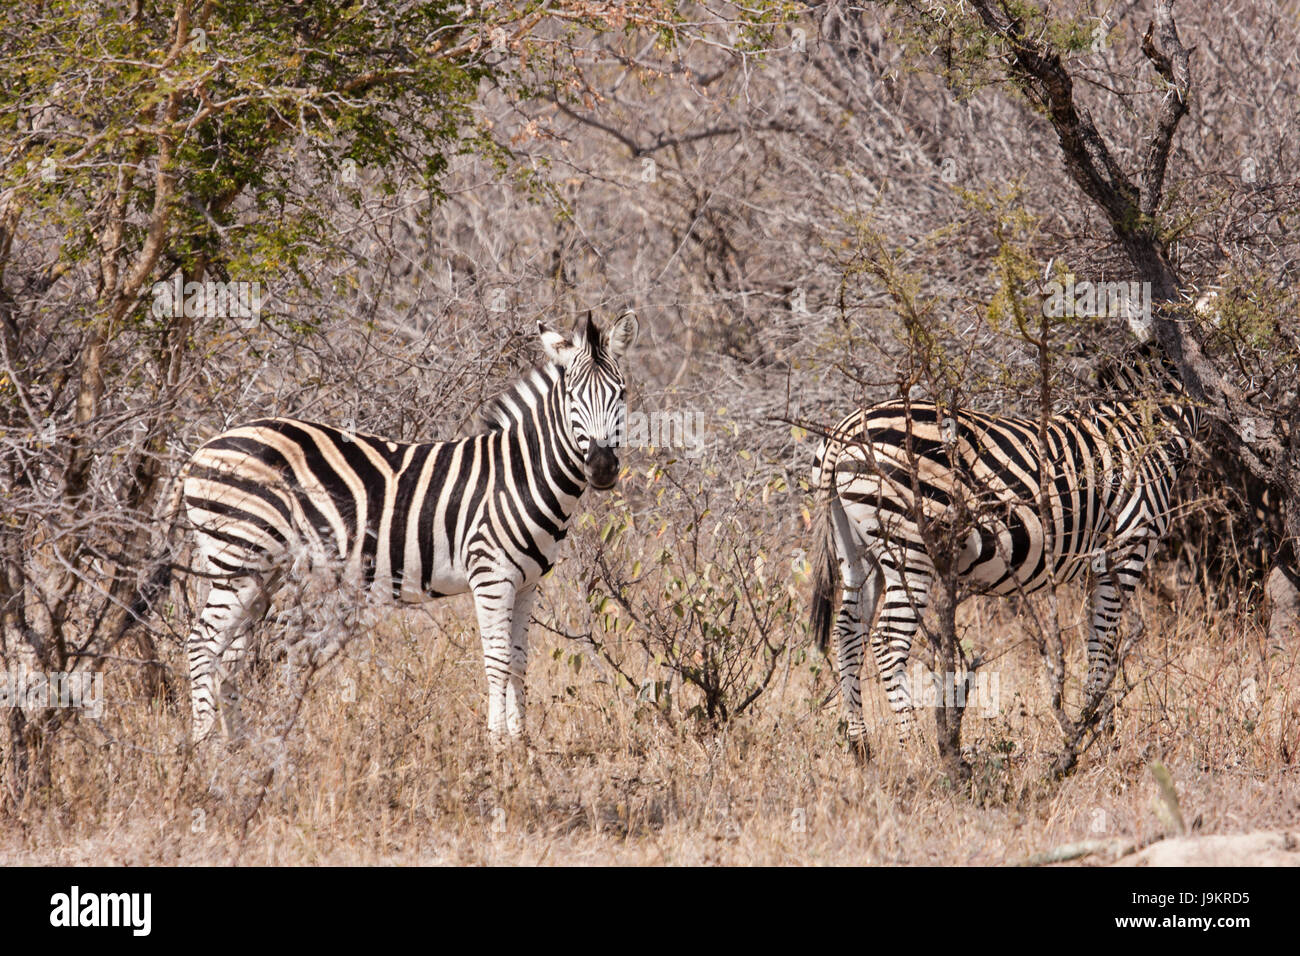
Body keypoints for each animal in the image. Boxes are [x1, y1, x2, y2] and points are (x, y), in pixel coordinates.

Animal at [173, 312, 638, 744]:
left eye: (622, 393)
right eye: (572, 397)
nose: (602, 467)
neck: (520, 473)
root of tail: (203, 449)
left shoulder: (527, 584)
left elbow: (521, 662)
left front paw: (521, 744)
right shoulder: (491, 575)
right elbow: (498, 661)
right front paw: (497, 746)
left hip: (263, 571)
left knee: (229, 655)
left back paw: (239, 752)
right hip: (239, 556)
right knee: (202, 643)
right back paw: (205, 748)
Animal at [808, 346, 1206, 753]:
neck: (1145, 424)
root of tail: (842, 432)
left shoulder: (1097, 561)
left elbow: (1096, 638)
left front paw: (1094, 723)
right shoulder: (1126, 546)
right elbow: (1105, 642)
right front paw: (1095, 728)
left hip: (858, 552)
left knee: (848, 631)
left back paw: (861, 747)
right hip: (909, 546)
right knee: (888, 640)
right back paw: (914, 748)